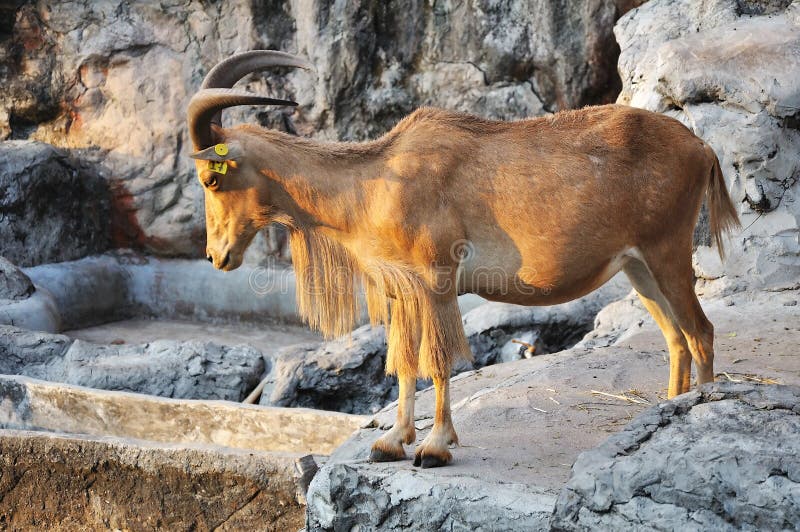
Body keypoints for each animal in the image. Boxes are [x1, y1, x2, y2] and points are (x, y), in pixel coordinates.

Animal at [187, 51, 740, 468]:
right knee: (675, 338)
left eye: (211, 179)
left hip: (667, 252)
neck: (372, 185)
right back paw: (664, 408)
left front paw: (434, 447)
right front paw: (392, 442)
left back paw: (697, 410)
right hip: (637, 268)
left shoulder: (436, 280)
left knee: (701, 331)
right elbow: (403, 361)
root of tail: (702, 146)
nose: (216, 256)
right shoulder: (403, 291)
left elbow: (436, 360)